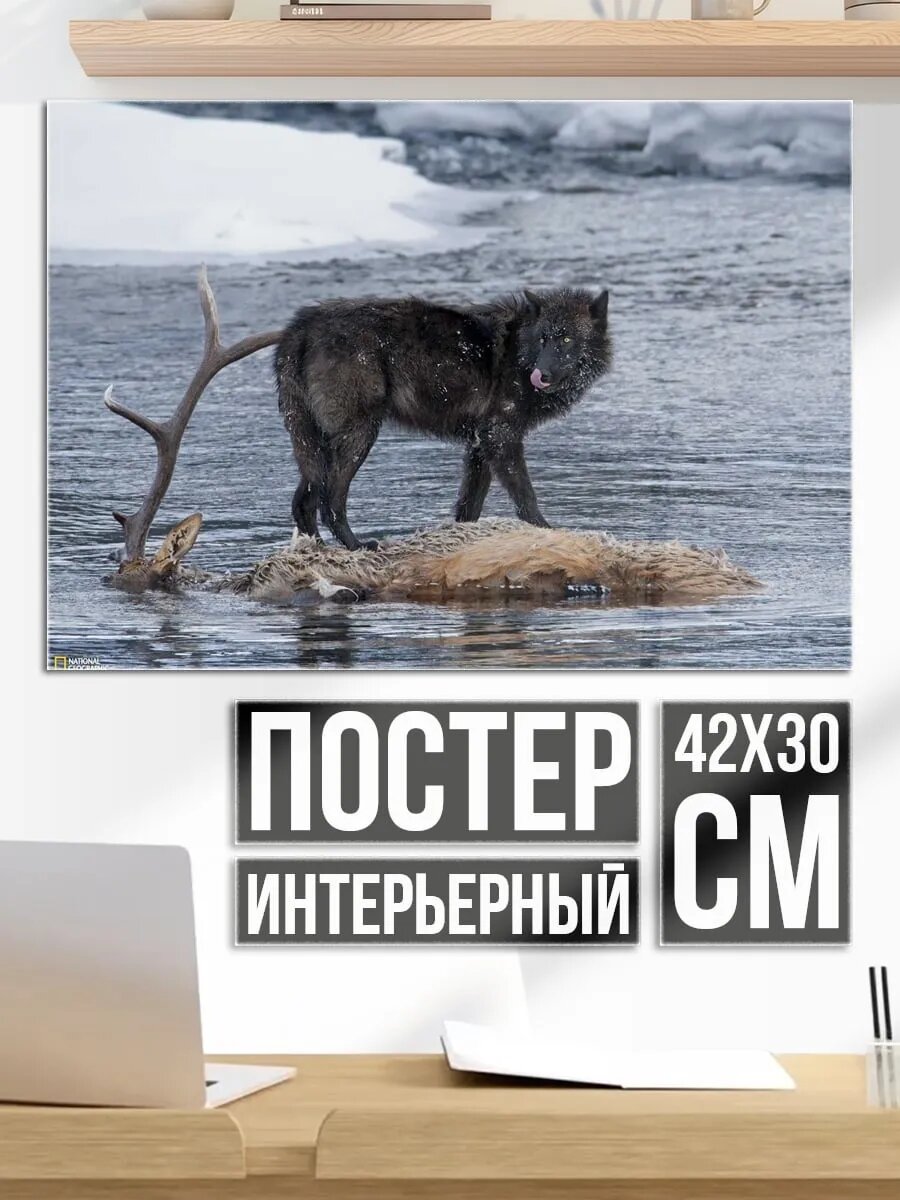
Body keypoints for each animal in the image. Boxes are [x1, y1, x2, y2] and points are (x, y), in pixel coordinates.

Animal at [275, 287, 612, 550]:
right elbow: (526, 495)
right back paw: (355, 545)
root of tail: (301, 326)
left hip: (319, 442)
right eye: (543, 339)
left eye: (566, 340)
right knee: (330, 500)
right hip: (358, 435)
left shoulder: (480, 444)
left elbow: (469, 505)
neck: (519, 351)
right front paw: (547, 531)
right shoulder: (500, 435)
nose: (540, 374)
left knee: (303, 502)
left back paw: (315, 551)